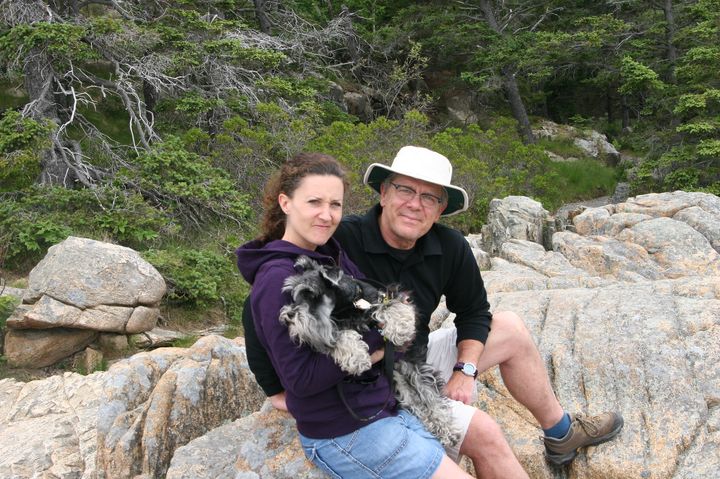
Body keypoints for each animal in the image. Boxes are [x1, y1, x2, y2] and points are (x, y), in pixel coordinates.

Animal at [278, 256, 458, 448]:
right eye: (294, 295)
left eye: (311, 294)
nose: (288, 317)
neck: (348, 307)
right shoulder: (329, 333)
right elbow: (338, 340)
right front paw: (356, 358)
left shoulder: (389, 296)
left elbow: (390, 307)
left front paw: (399, 330)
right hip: (400, 385)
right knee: (417, 404)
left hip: (414, 369)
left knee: (431, 398)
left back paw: (447, 430)